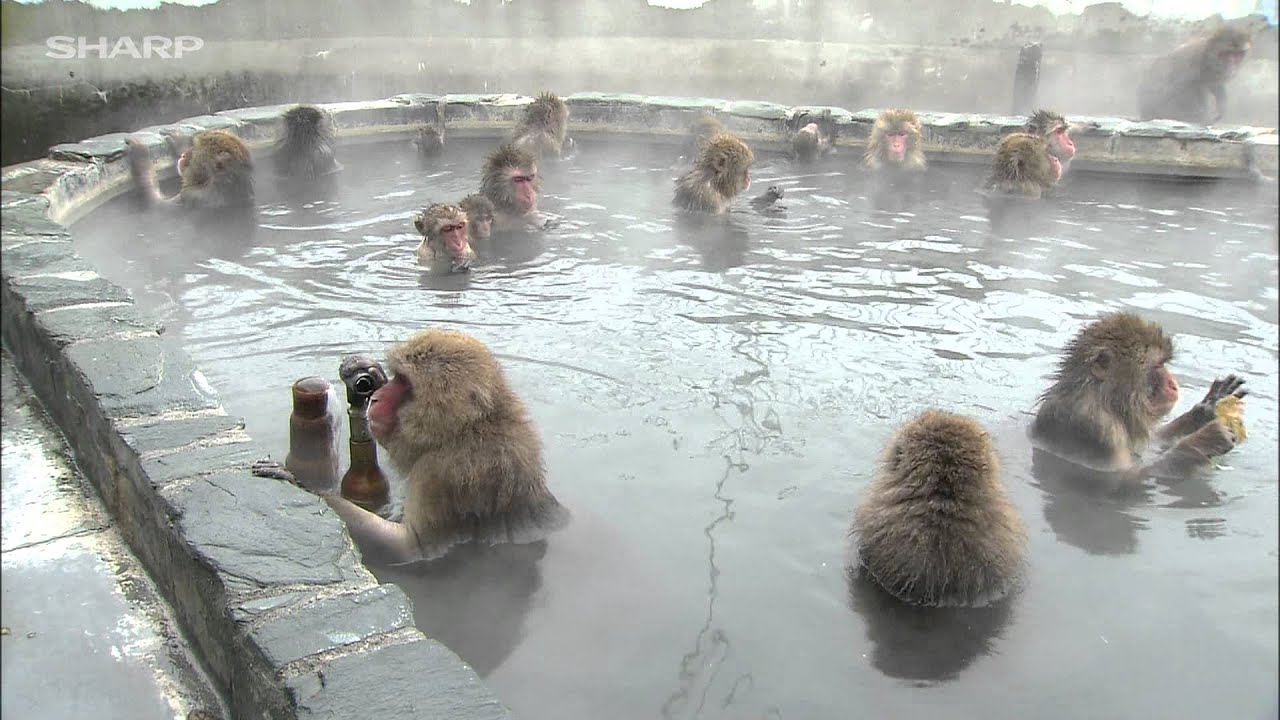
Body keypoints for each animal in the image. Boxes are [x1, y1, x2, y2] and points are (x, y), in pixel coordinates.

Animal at [125, 129, 254, 213]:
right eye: (192, 146)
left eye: (195, 149)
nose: (184, 155)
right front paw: (178, 141)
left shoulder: (189, 196)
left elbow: (155, 205)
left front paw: (139, 152)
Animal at [1029, 311, 1247, 482]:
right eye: (1158, 365)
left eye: (1164, 363)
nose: (1173, 384)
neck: (1106, 401)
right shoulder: (1094, 425)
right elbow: (1124, 479)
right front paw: (1205, 439)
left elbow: (1153, 441)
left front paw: (1207, 407)